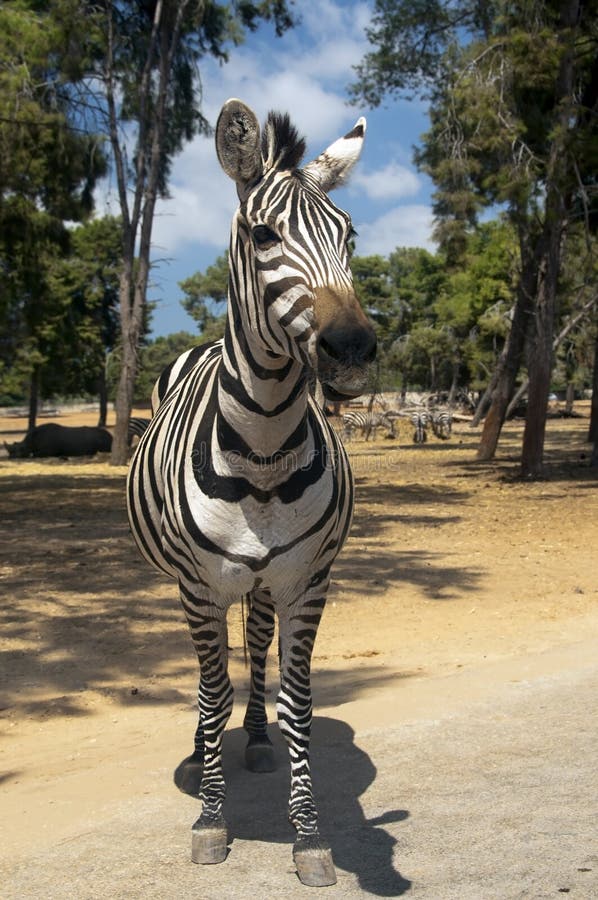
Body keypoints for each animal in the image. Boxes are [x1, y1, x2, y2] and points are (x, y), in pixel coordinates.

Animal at [127, 99, 376, 887]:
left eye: (350, 236)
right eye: (264, 235)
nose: (353, 349)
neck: (264, 449)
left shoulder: (309, 580)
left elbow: (299, 697)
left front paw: (309, 835)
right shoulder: (199, 585)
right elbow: (211, 693)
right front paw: (210, 821)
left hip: (266, 581)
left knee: (257, 643)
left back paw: (259, 740)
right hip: (195, 582)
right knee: (211, 679)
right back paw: (206, 748)